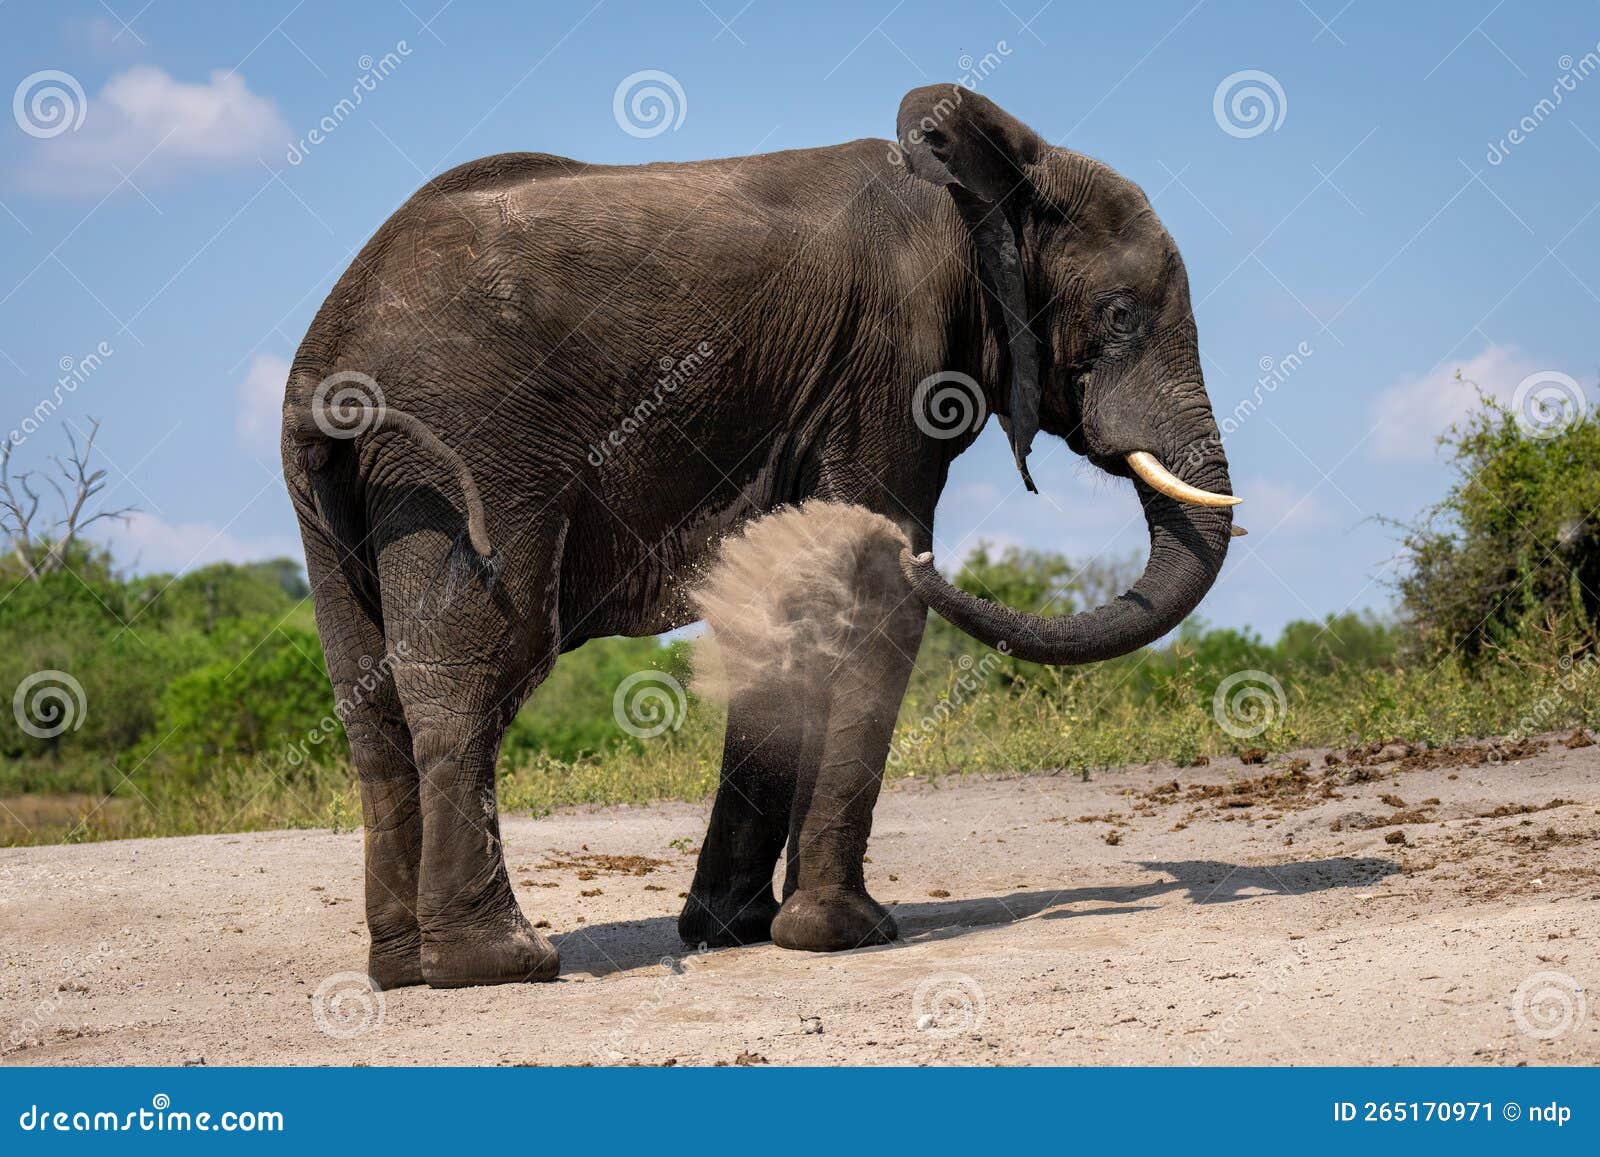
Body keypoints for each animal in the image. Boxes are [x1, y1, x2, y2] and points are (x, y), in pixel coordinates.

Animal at [280, 84, 1239, 989]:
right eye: (1119, 315)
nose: (923, 554)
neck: (980, 186)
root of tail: (331, 349)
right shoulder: (893, 361)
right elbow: (869, 600)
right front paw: (848, 934)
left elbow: (783, 610)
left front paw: (734, 930)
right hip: (475, 450)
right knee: (475, 671)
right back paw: (500, 963)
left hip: (339, 498)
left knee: (368, 697)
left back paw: (403, 969)